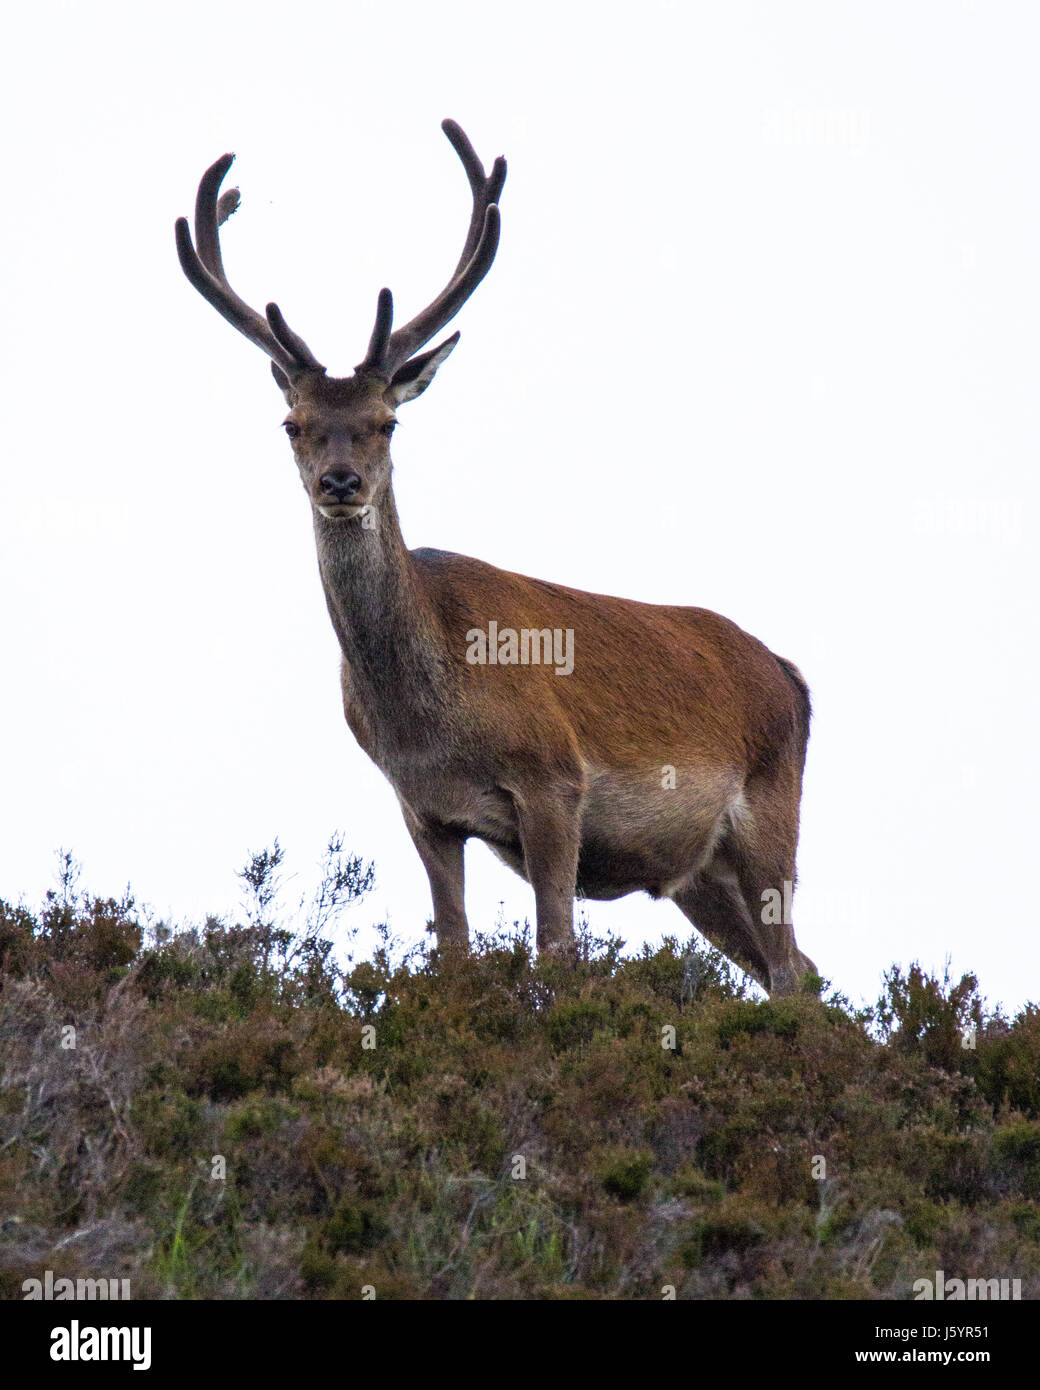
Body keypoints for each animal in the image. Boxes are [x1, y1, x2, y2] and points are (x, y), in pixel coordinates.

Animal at [175, 119, 818, 995]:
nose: (340, 483)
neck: (432, 711)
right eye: (293, 424)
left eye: (386, 422)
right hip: (702, 878)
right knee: (807, 973)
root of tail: (792, 678)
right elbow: (452, 949)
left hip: (772, 813)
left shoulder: (556, 779)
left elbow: (557, 949)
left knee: (790, 974)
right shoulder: (424, 809)